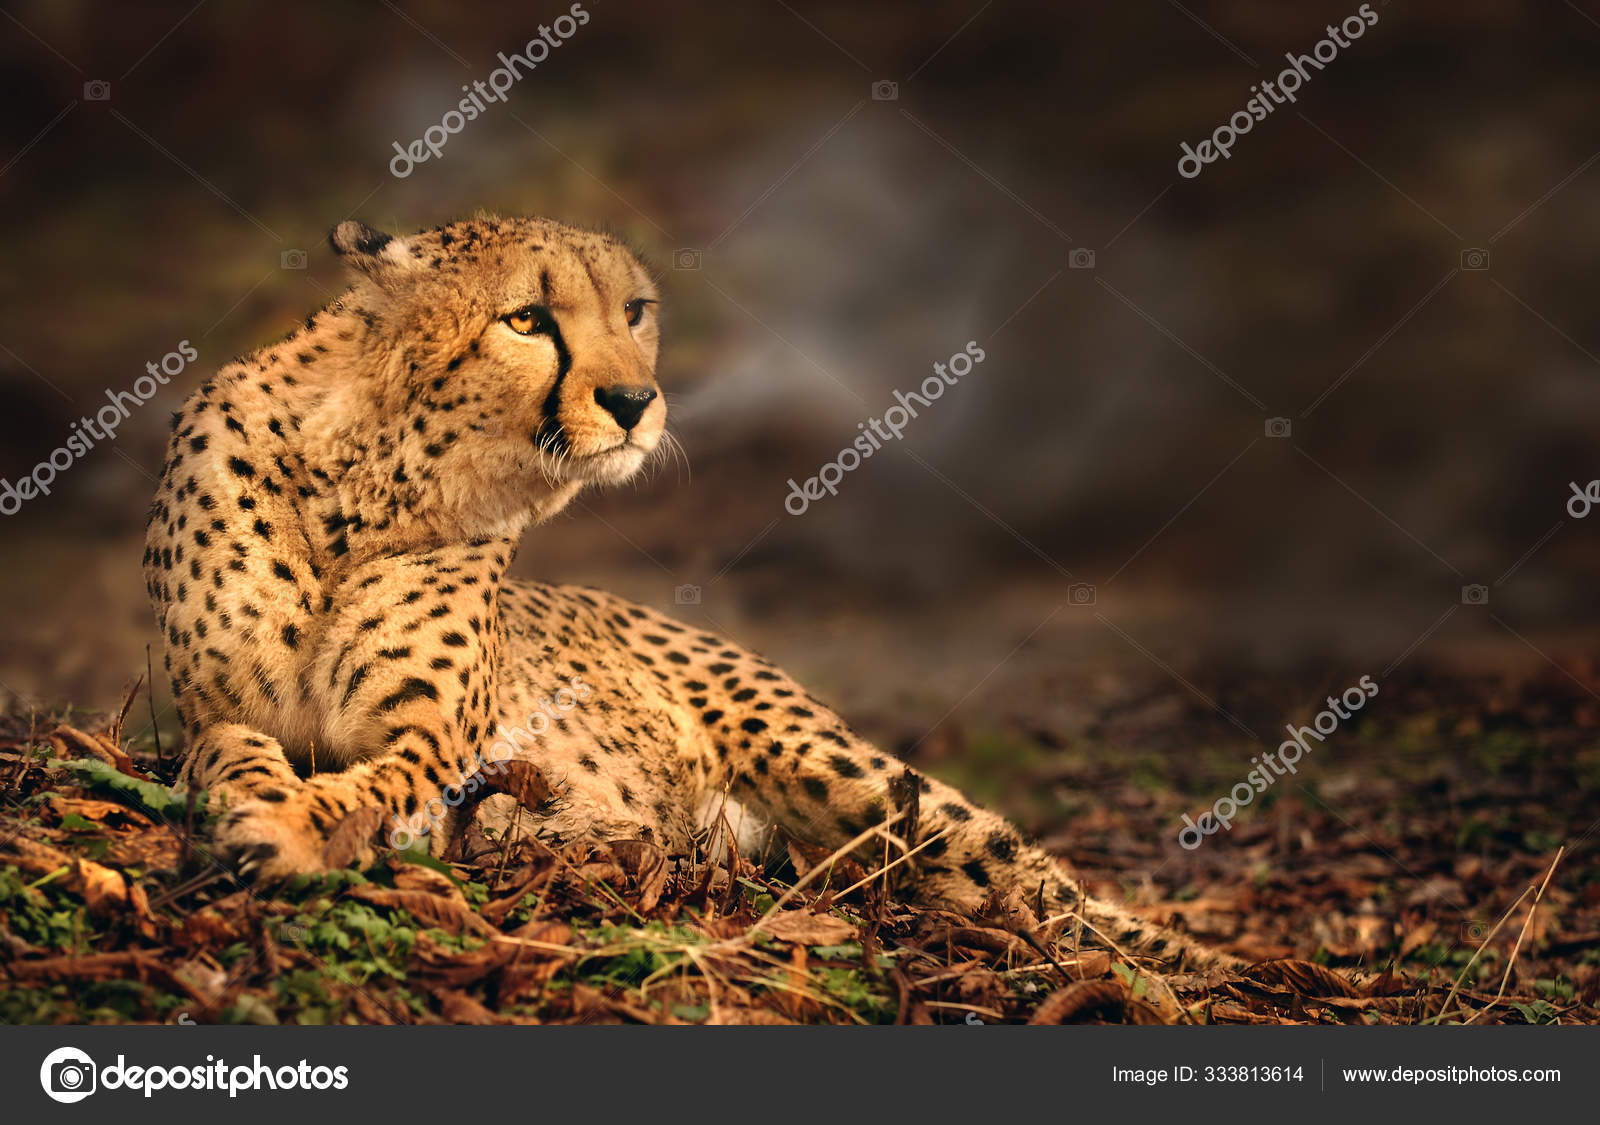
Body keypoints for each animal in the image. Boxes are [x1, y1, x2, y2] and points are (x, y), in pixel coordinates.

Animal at [144, 213, 1241, 970]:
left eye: (634, 314)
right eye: (528, 319)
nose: (636, 400)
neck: (366, 485)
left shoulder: (433, 743)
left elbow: (366, 788)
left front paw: (288, 827)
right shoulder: (213, 711)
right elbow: (233, 750)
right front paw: (259, 803)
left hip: (842, 772)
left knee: (1036, 876)